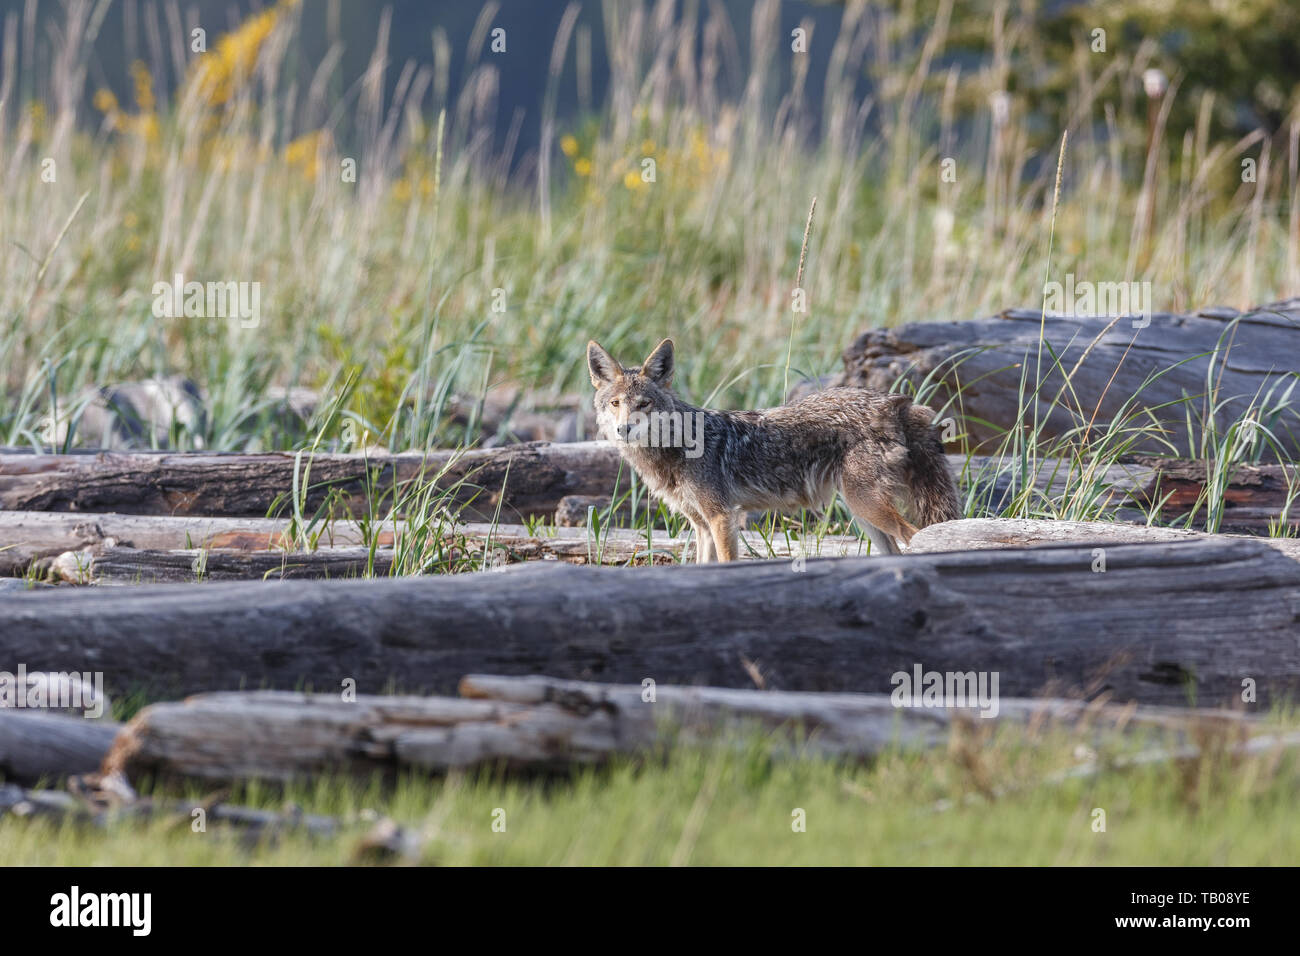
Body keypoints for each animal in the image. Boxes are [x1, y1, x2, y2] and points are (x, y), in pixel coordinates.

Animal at [587, 338, 960, 561]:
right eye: (616, 404)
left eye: (644, 404)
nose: (623, 429)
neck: (676, 448)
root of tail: (896, 402)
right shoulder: (701, 525)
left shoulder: (722, 517)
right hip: (865, 516)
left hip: (867, 507)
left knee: (917, 537)